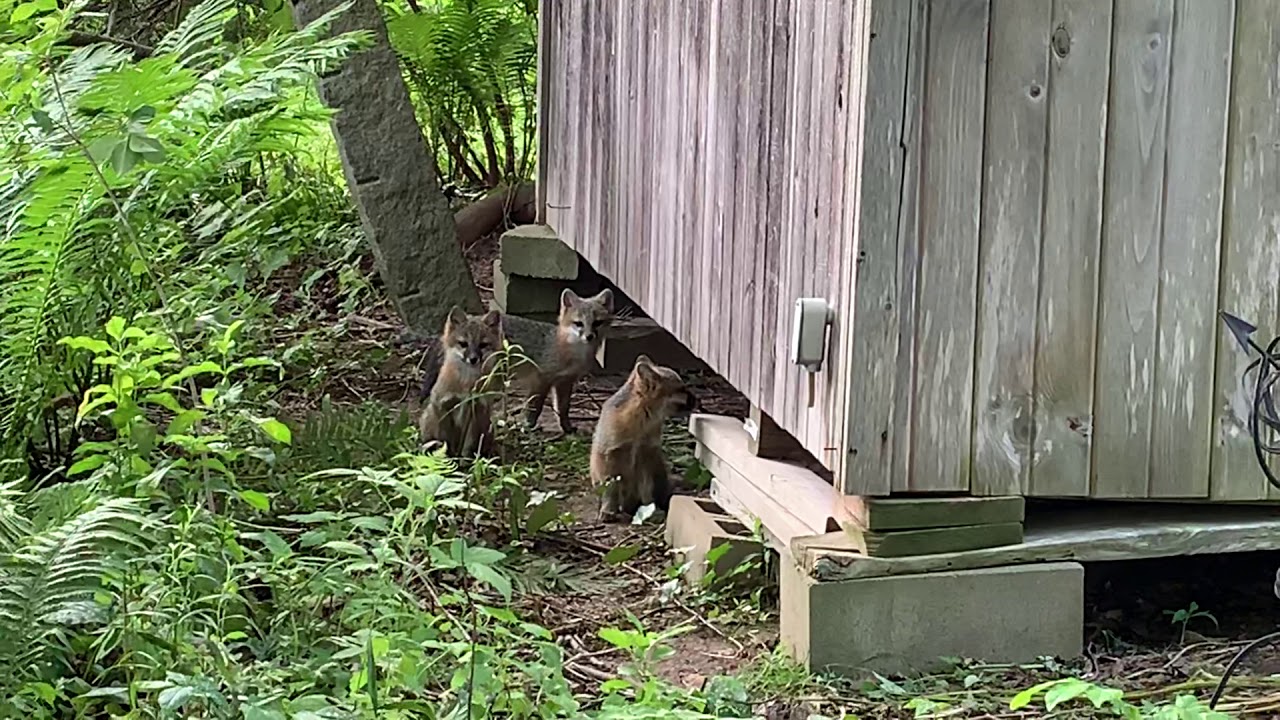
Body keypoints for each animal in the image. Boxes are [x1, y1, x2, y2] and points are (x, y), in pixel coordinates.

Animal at [418, 306, 503, 457]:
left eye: (483, 345)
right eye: (463, 344)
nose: (473, 359)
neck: (466, 383)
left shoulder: (475, 411)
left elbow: (467, 446)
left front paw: (464, 460)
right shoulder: (443, 407)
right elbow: (446, 441)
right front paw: (447, 458)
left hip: (487, 424)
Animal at [502, 288, 614, 434]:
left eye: (597, 322)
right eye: (578, 323)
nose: (589, 336)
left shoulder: (565, 381)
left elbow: (563, 408)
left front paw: (567, 427)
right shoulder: (541, 379)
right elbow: (534, 406)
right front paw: (527, 424)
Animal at [589, 354, 697, 523]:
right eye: (681, 389)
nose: (698, 400)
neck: (639, 428)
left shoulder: (646, 454)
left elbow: (646, 488)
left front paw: (649, 509)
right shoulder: (610, 456)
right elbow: (611, 489)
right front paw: (608, 510)